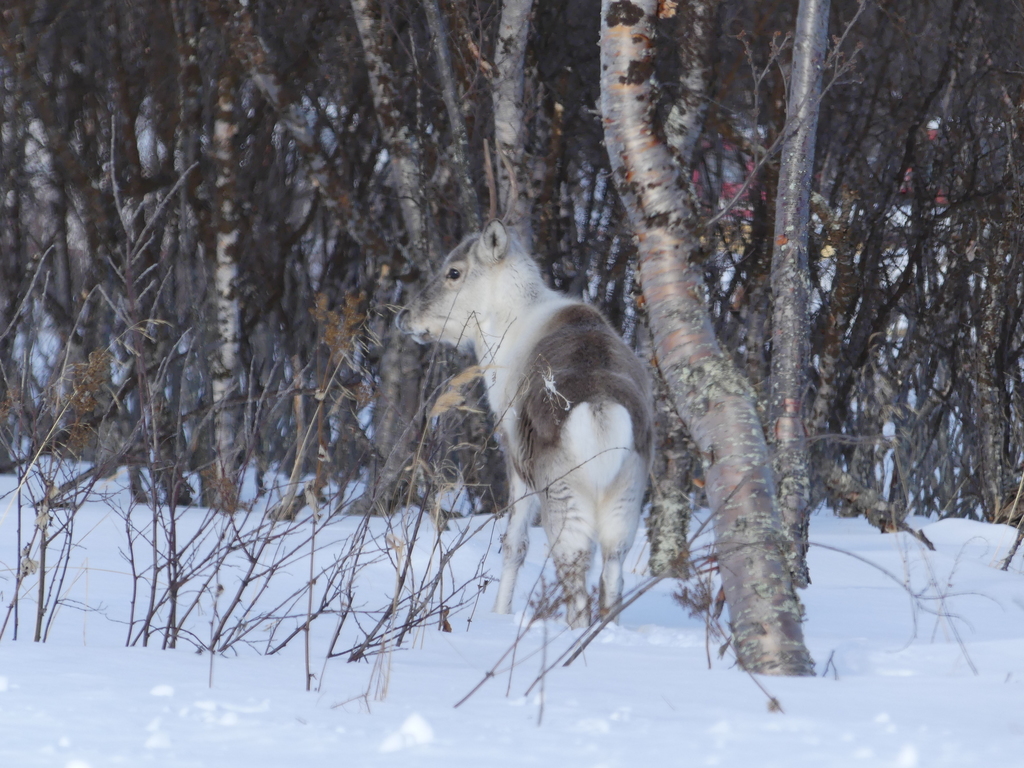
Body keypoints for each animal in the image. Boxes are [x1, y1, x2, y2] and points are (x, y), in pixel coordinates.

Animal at [395, 219, 653, 629]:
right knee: (612, 573)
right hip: (625, 501)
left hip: (564, 500)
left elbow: (514, 544)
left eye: (454, 272)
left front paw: (500, 612)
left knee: (575, 580)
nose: (404, 317)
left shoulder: (515, 461)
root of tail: (601, 411)